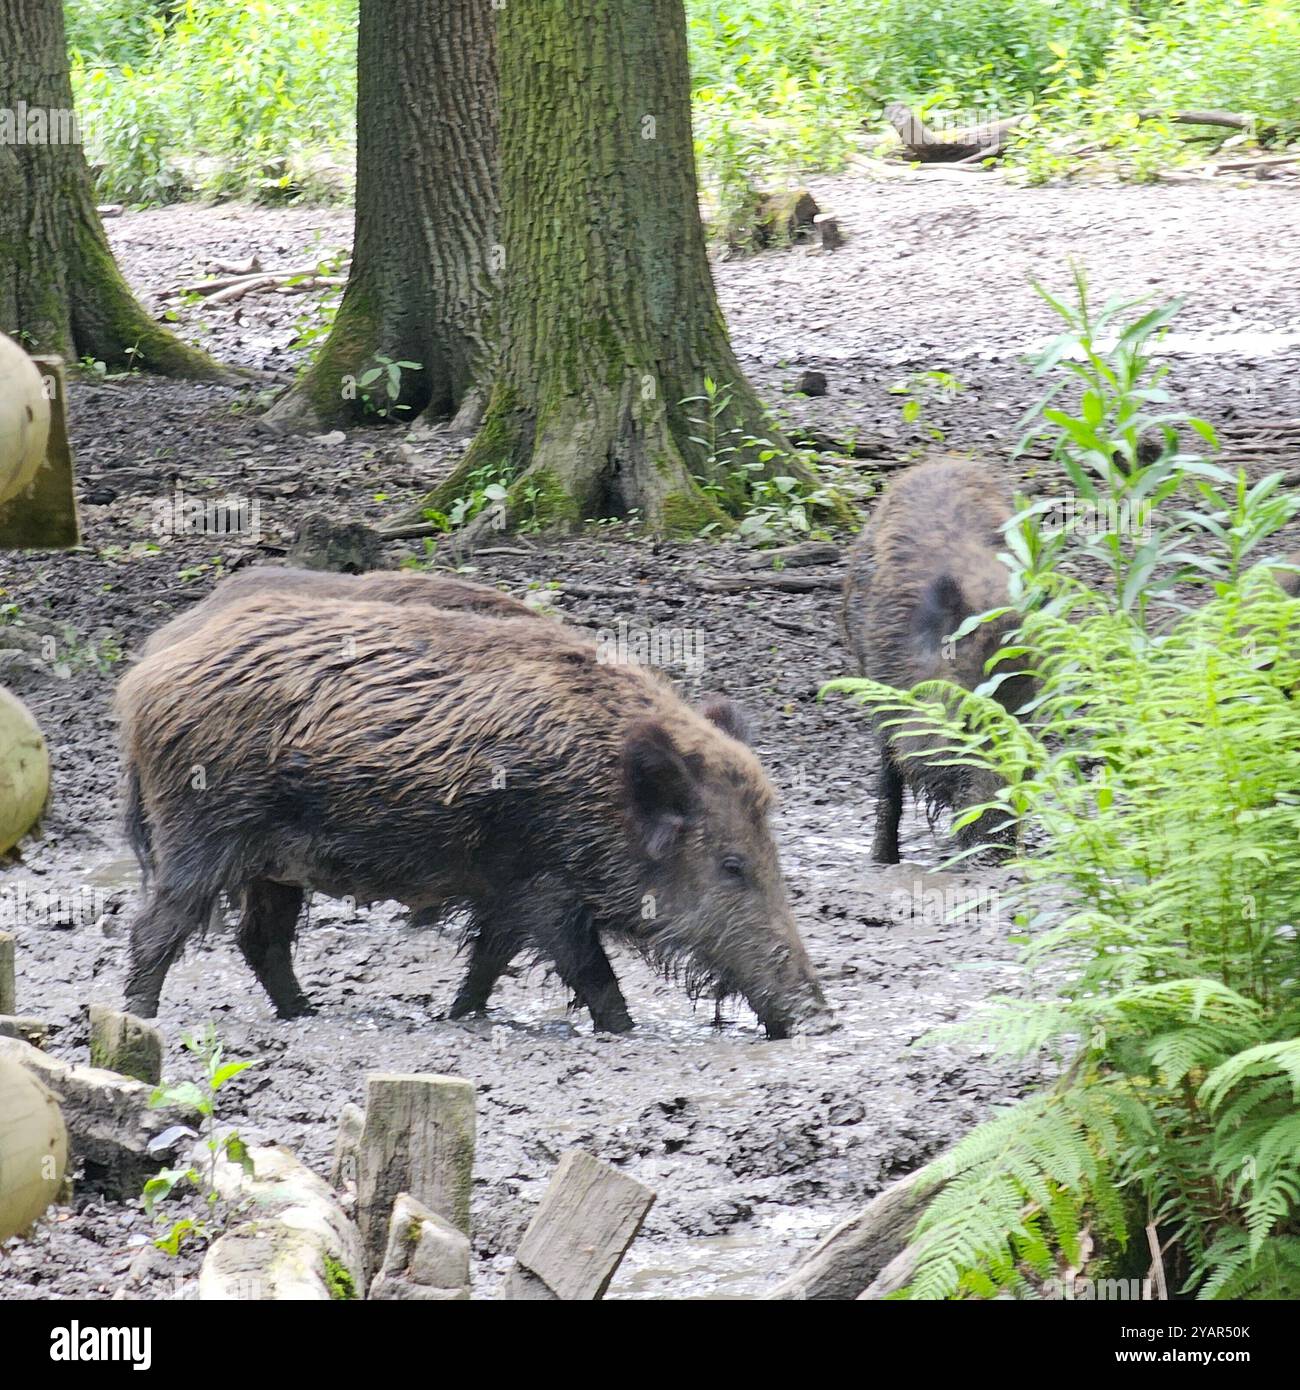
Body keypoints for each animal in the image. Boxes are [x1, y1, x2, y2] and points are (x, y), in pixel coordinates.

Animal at [116, 596, 830, 1038]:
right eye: (731, 864)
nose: (819, 1015)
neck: (599, 793)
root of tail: (143, 680)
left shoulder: (509, 891)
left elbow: (488, 959)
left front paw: (458, 1018)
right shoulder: (549, 888)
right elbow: (592, 974)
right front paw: (624, 1032)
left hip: (274, 867)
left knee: (259, 940)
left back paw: (305, 1015)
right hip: (200, 832)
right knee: (155, 928)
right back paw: (142, 1019)